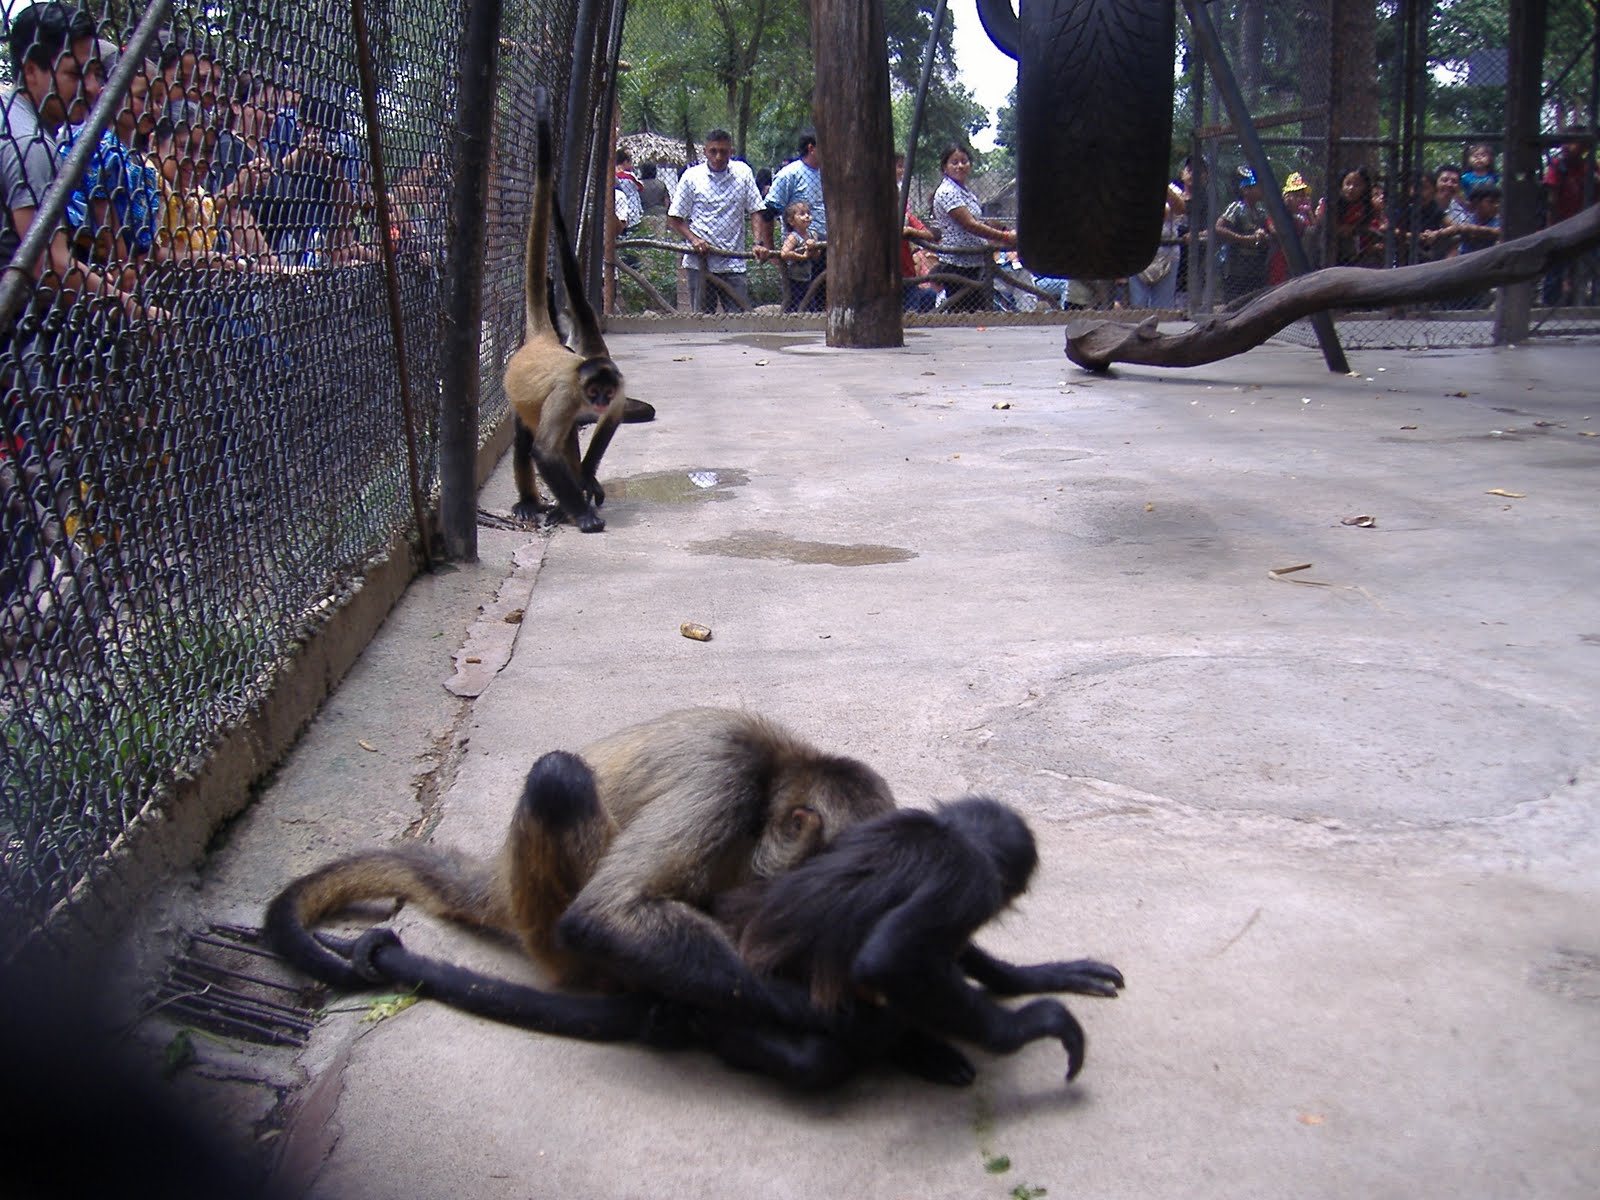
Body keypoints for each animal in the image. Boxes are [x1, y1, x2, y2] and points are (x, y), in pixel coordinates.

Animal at [265, 707, 897, 1031]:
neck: (773, 776)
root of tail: (502, 873)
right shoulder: (726, 782)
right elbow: (603, 916)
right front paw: (823, 1011)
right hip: (544, 924)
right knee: (558, 776)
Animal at [504, 87, 624, 532]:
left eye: (607, 391)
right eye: (593, 390)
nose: (600, 399)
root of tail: (541, 339)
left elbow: (606, 424)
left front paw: (584, 483)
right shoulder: (566, 396)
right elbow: (543, 452)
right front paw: (581, 512)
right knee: (527, 440)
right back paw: (532, 501)